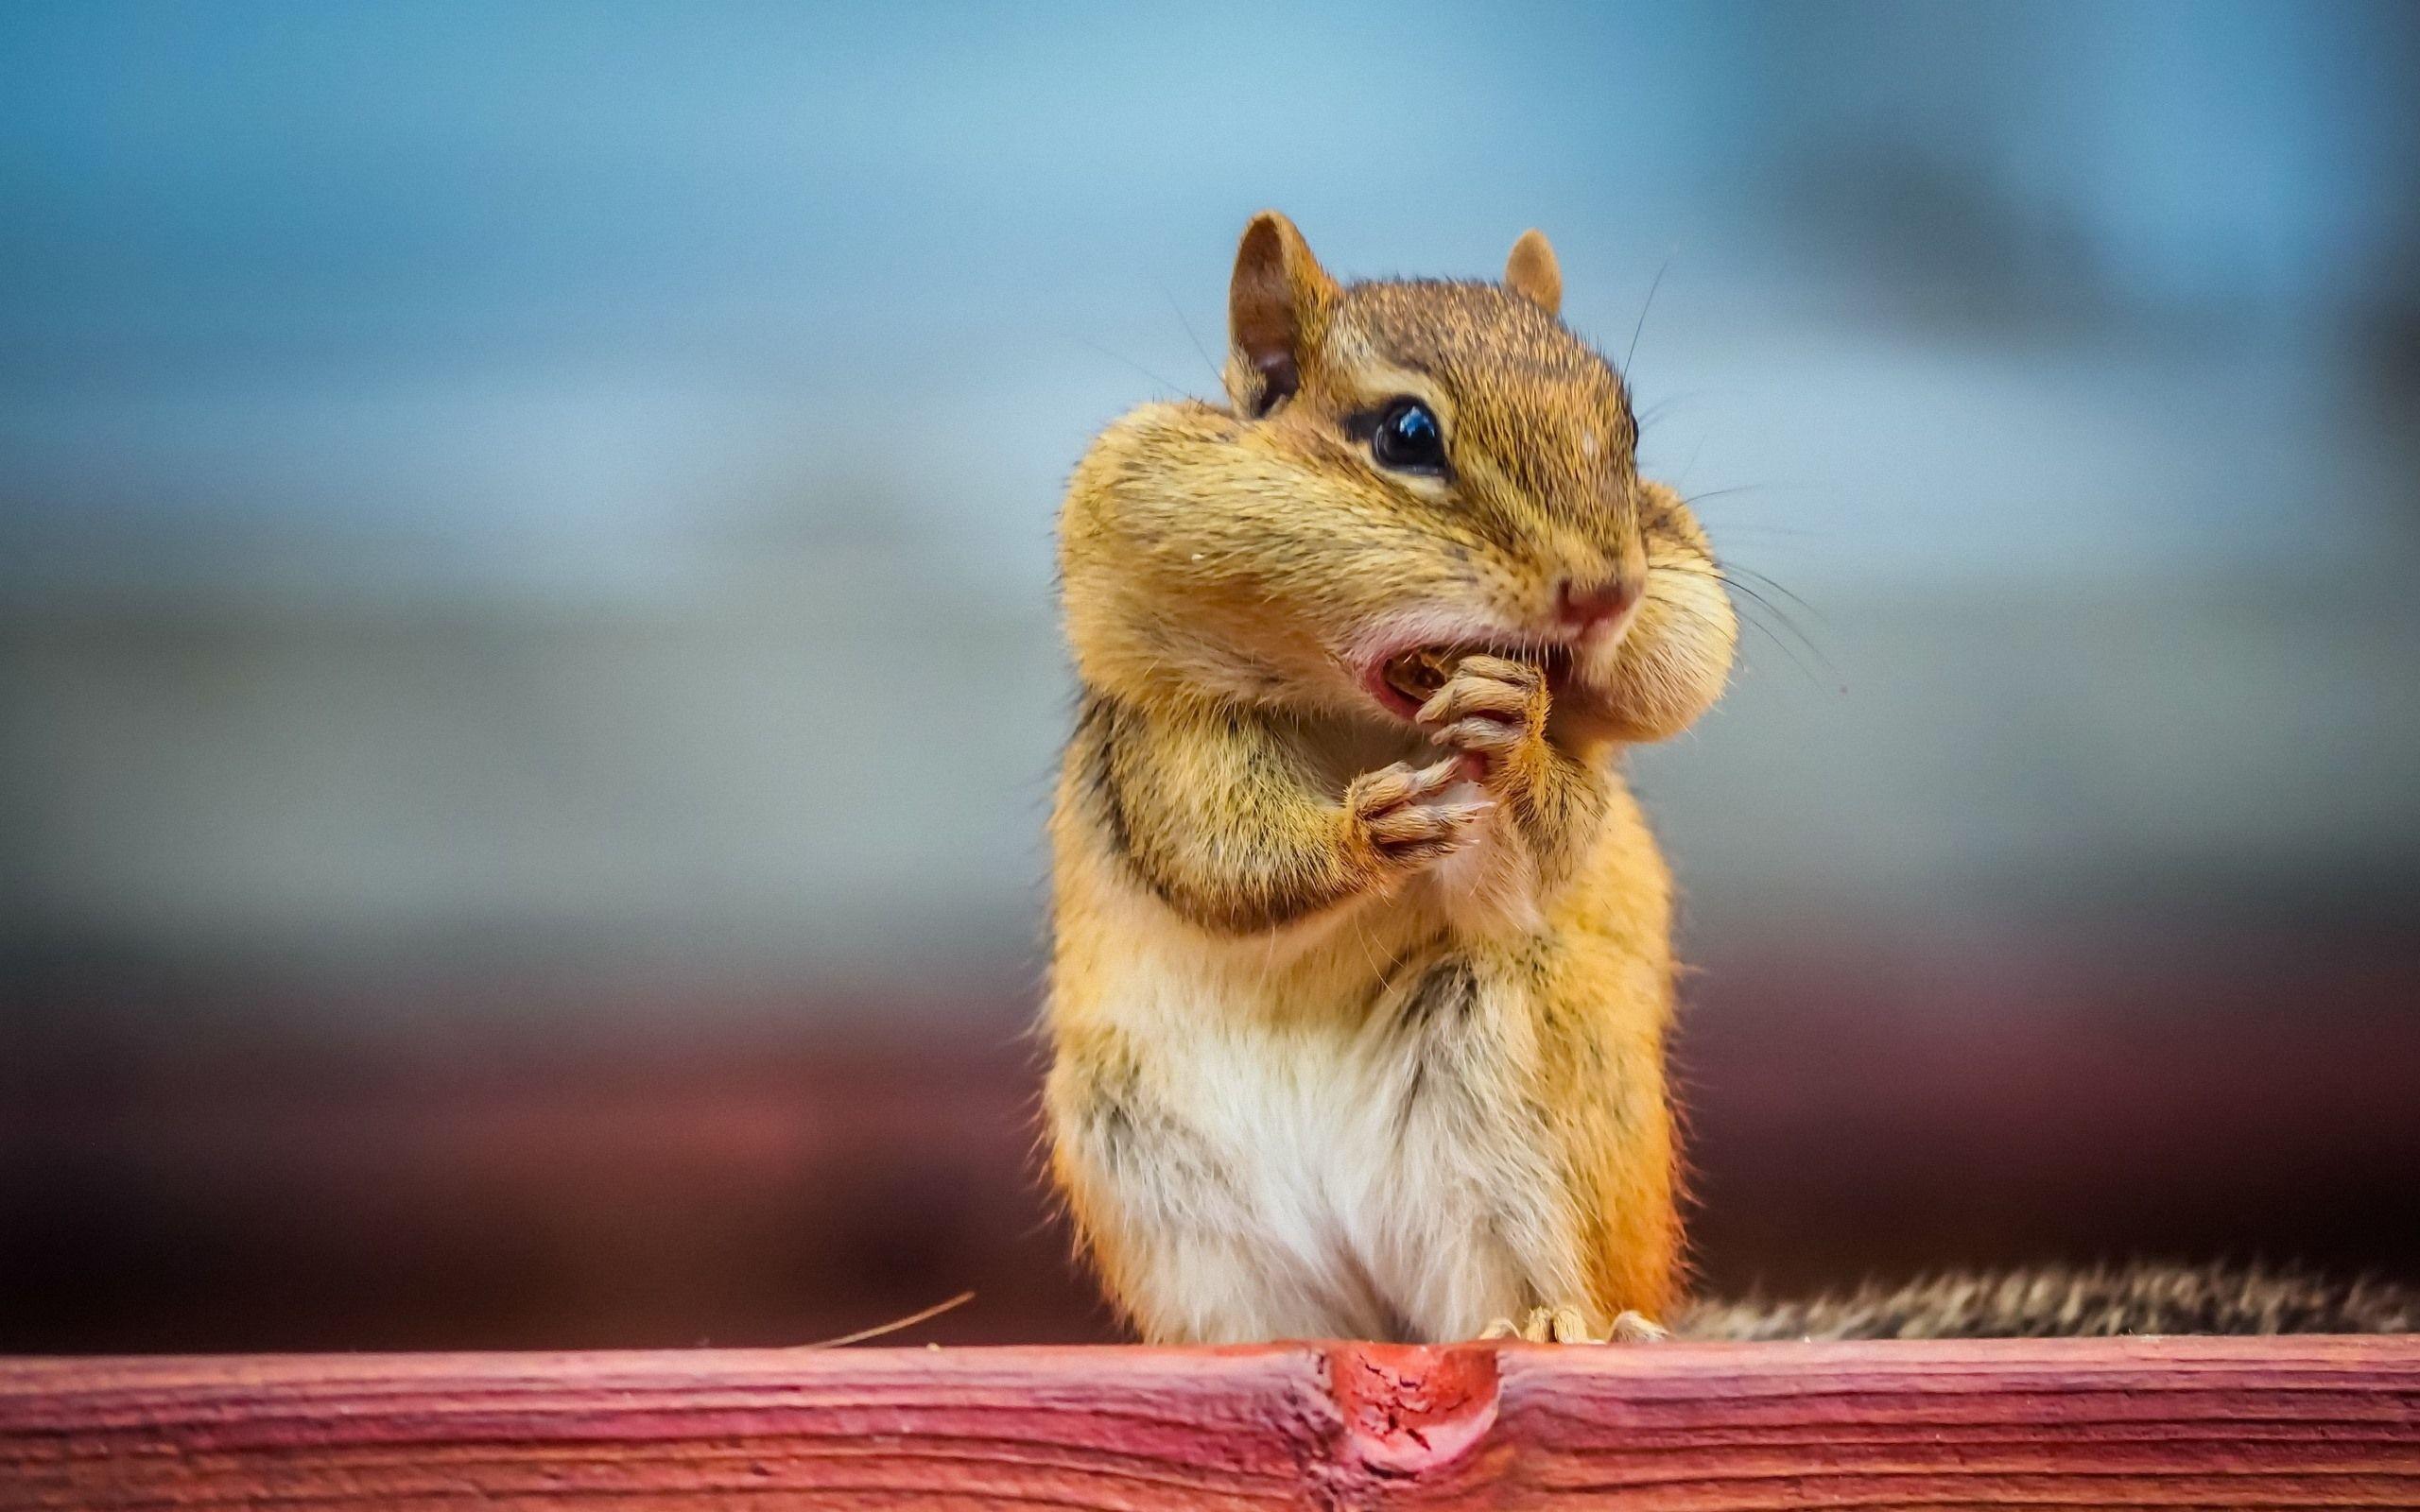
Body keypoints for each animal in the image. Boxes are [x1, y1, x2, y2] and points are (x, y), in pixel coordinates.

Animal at [1040, 211, 2415, 1347]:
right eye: (1405, 434)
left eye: (1630, 436)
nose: (1605, 588)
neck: (1362, 723)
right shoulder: (1163, 738)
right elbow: (1211, 854)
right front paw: (1362, 835)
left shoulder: (1642, 666)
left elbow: (1575, 803)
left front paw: (1514, 746)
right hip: (1159, 1183)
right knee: (1282, 1318)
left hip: (1512, 1086)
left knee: (1526, 1284)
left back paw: (1557, 1326)